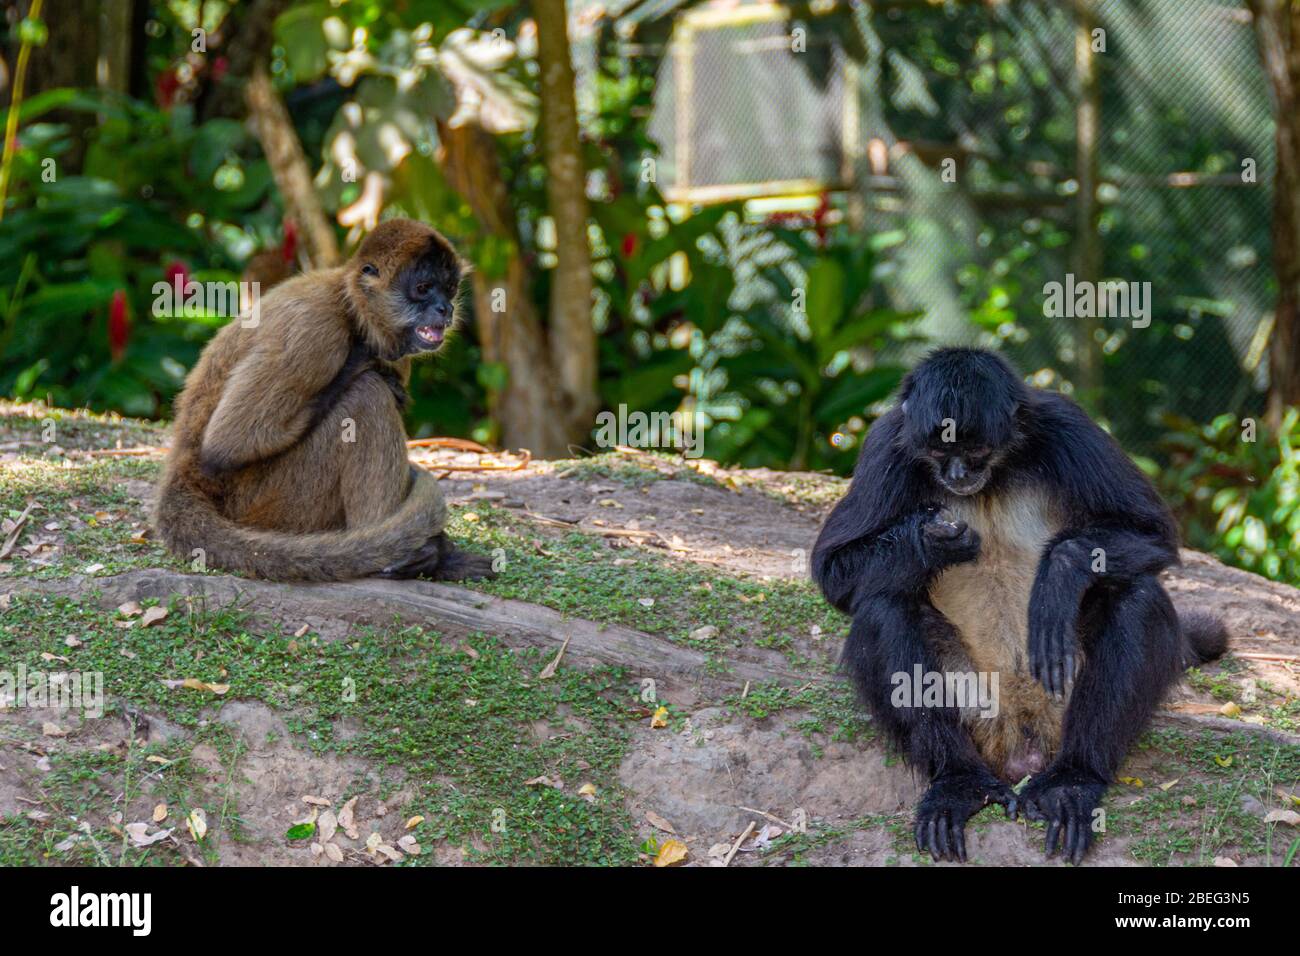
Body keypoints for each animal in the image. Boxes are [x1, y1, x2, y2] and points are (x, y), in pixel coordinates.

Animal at [154, 218, 495, 583]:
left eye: (449, 288)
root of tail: (182, 475)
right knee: (367, 392)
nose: (446, 309)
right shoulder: (314, 330)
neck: (349, 305)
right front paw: (362, 362)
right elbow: (223, 448)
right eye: (423, 288)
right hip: (262, 498)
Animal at [811, 347, 1226, 864]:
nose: (957, 476)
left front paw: (1059, 576)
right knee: (882, 606)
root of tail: (1022, 741)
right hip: (976, 703)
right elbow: (833, 572)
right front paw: (931, 542)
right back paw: (959, 782)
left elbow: (1155, 534)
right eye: (939, 454)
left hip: (1061, 700)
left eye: (975, 454)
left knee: (1138, 595)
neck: (993, 478)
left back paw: (1072, 781)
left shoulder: (1066, 423)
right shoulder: (888, 442)